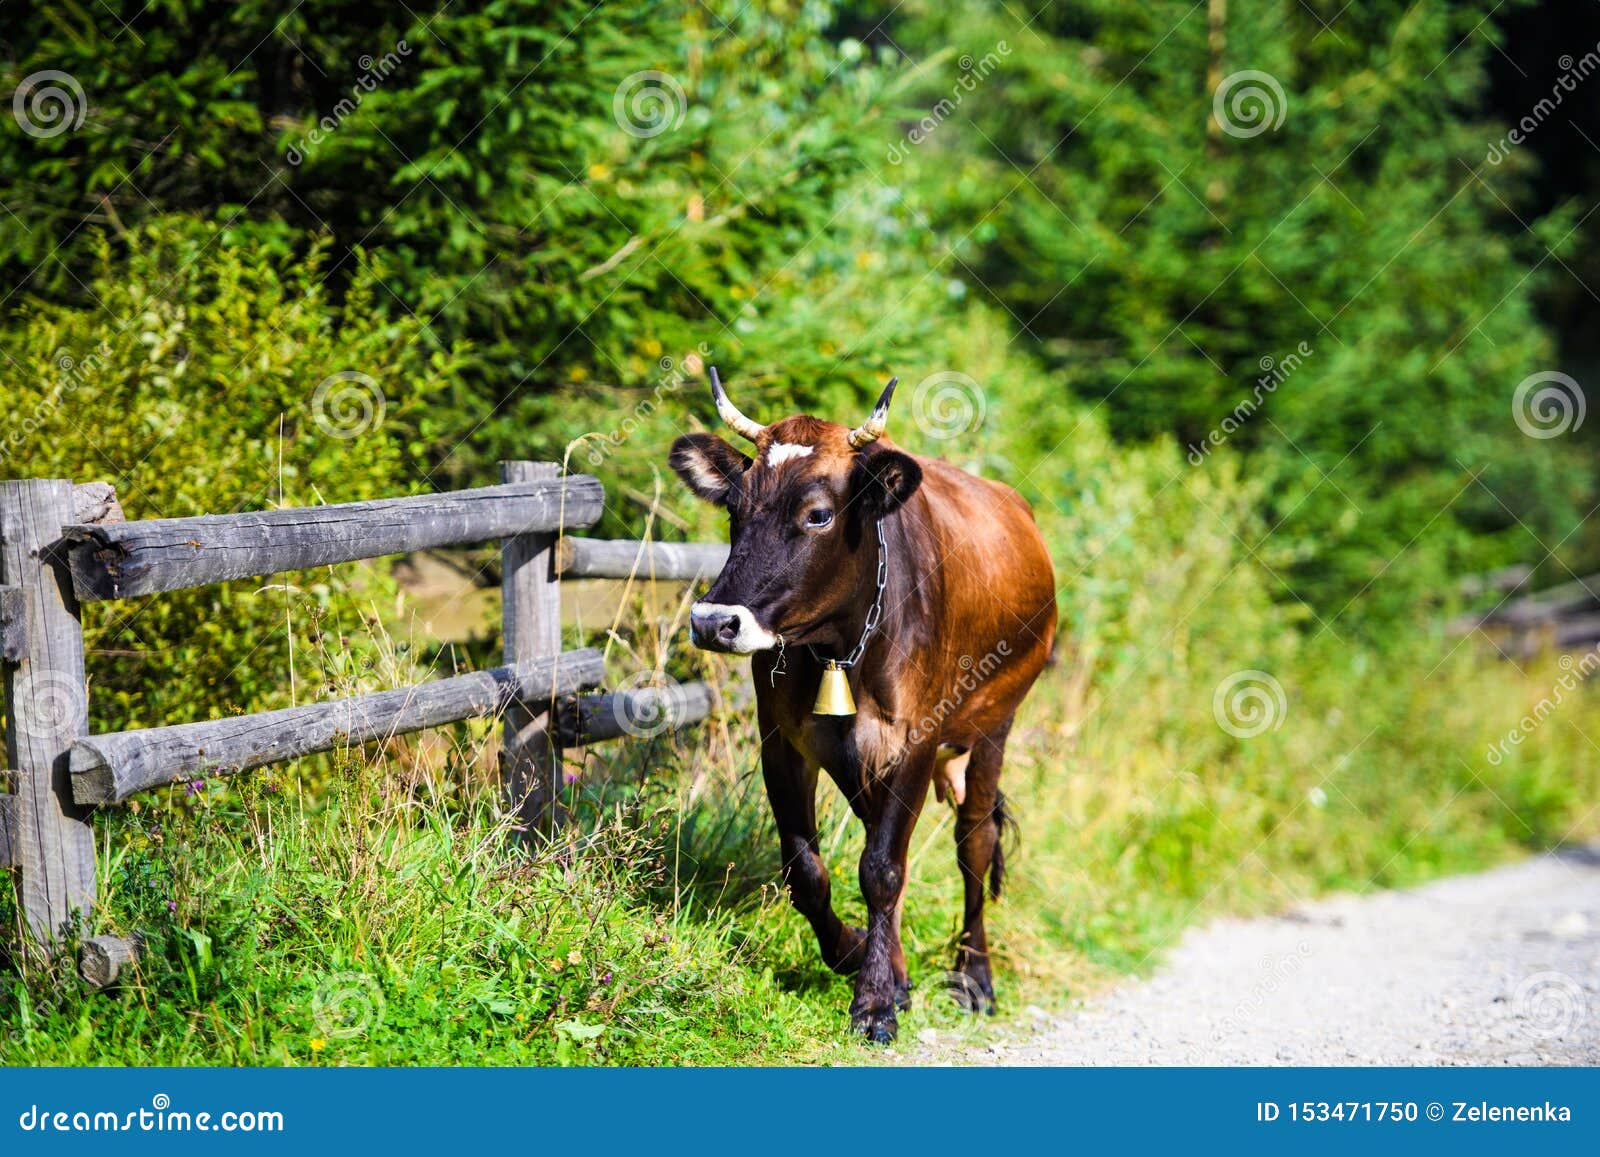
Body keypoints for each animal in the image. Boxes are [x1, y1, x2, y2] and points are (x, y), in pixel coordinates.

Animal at [669, 369, 1057, 1043]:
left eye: (819, 514)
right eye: (736, 509)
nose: (715, 621)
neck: (840, 647)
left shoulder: (917, 740)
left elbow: (881, 868)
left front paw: (874, 1003)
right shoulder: (784, 741)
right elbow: (808, 871)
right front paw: (860, 960)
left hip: (994, 724)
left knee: (973, 844)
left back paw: (973, 976)